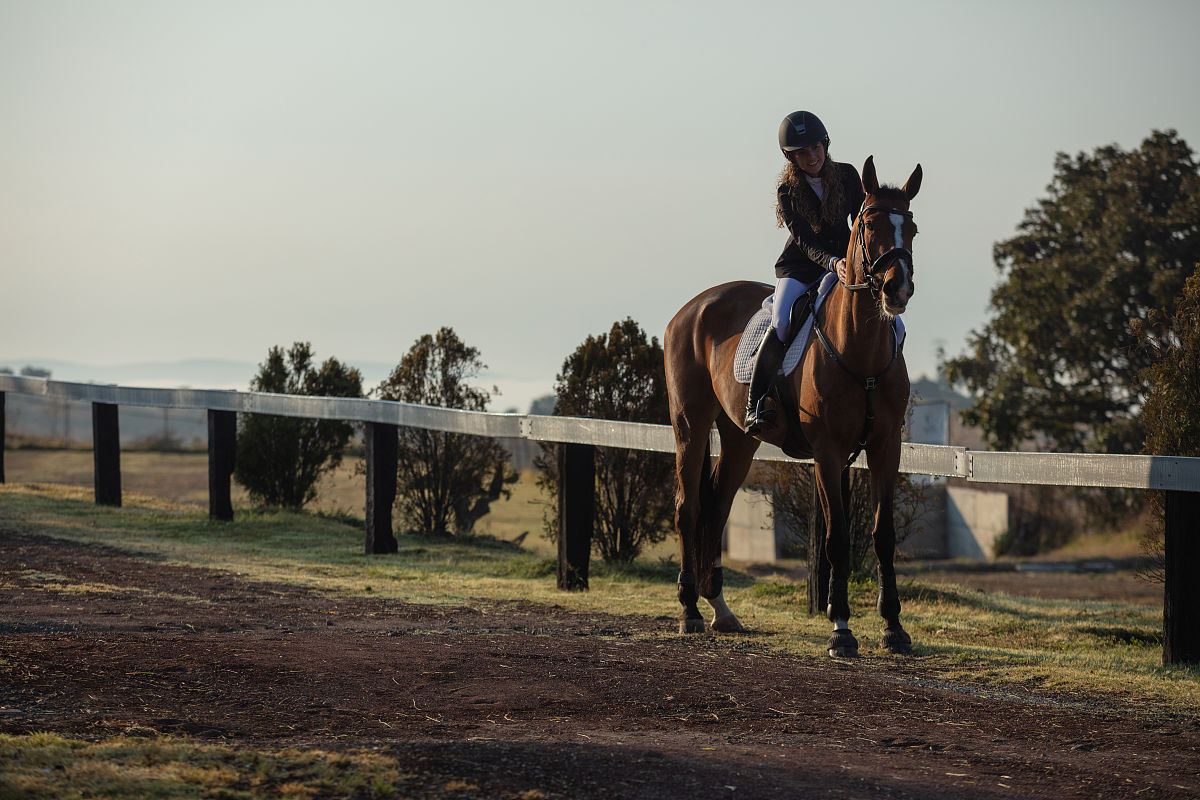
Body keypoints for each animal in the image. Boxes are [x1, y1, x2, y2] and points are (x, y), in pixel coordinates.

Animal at [663, 156, 921, 657]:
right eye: (868, 224)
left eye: (913, 228)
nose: (897, 290)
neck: (862, 350)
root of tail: (691, 308)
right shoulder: (828, 452)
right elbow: (837, 539)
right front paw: (841, 630)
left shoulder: (885, 448)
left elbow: (882, 535)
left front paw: (893, 628)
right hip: (691, 425)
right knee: (689, 508)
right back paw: (689, 612)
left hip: (740, 439)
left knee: (717, 508)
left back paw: (721, 611)